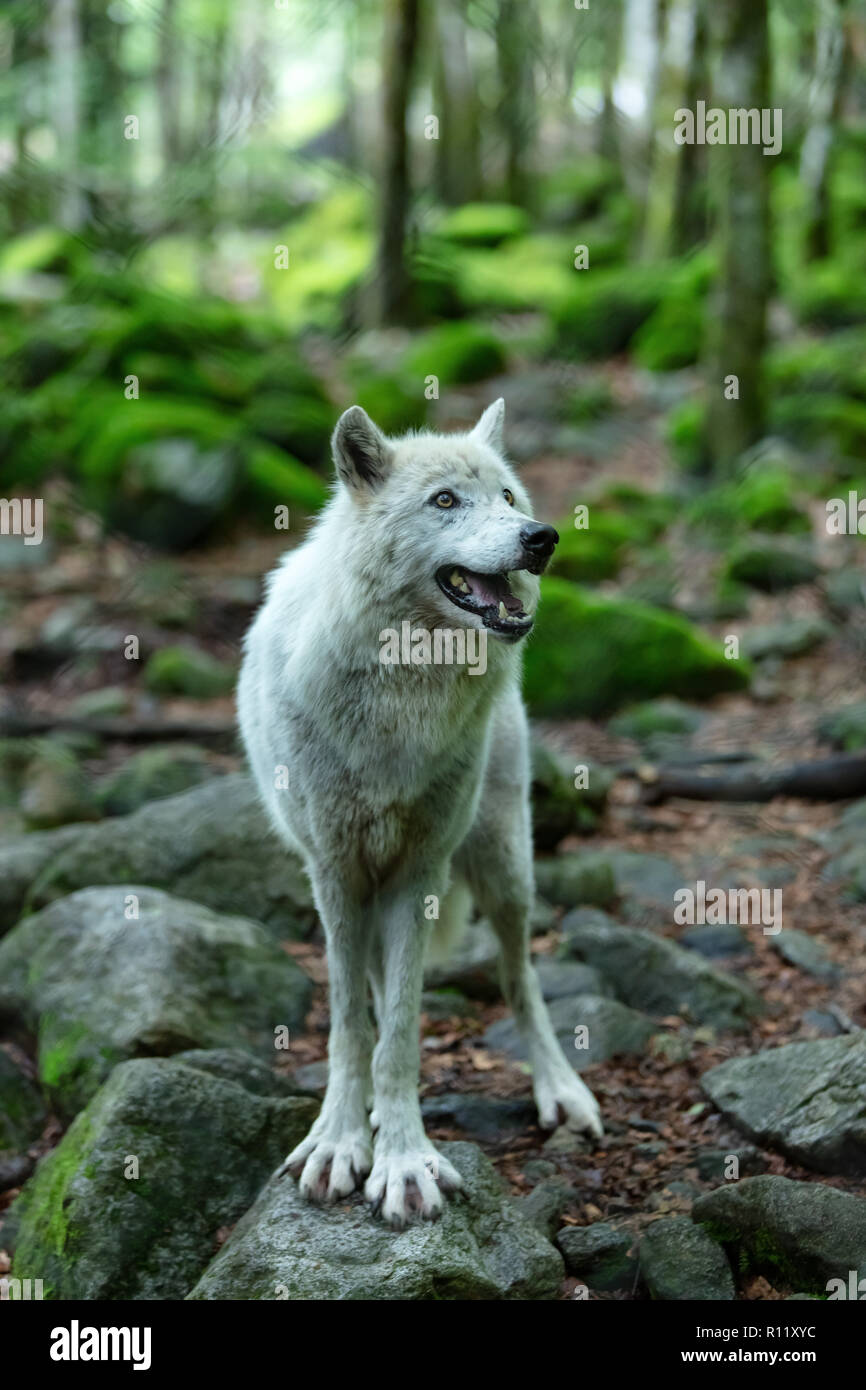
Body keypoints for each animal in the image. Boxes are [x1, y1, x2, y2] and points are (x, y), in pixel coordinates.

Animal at [237, 398, 602, 1227]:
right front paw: (342, 1143)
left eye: (507, 497)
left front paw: (404, 1163)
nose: (542, 537)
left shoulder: (421, 872)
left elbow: (401, 1029)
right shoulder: (336, 872)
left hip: (503, 866)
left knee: (520, 978)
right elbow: (351, 1025)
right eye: (444, 501)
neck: (400, 698)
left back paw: (561, 1091)